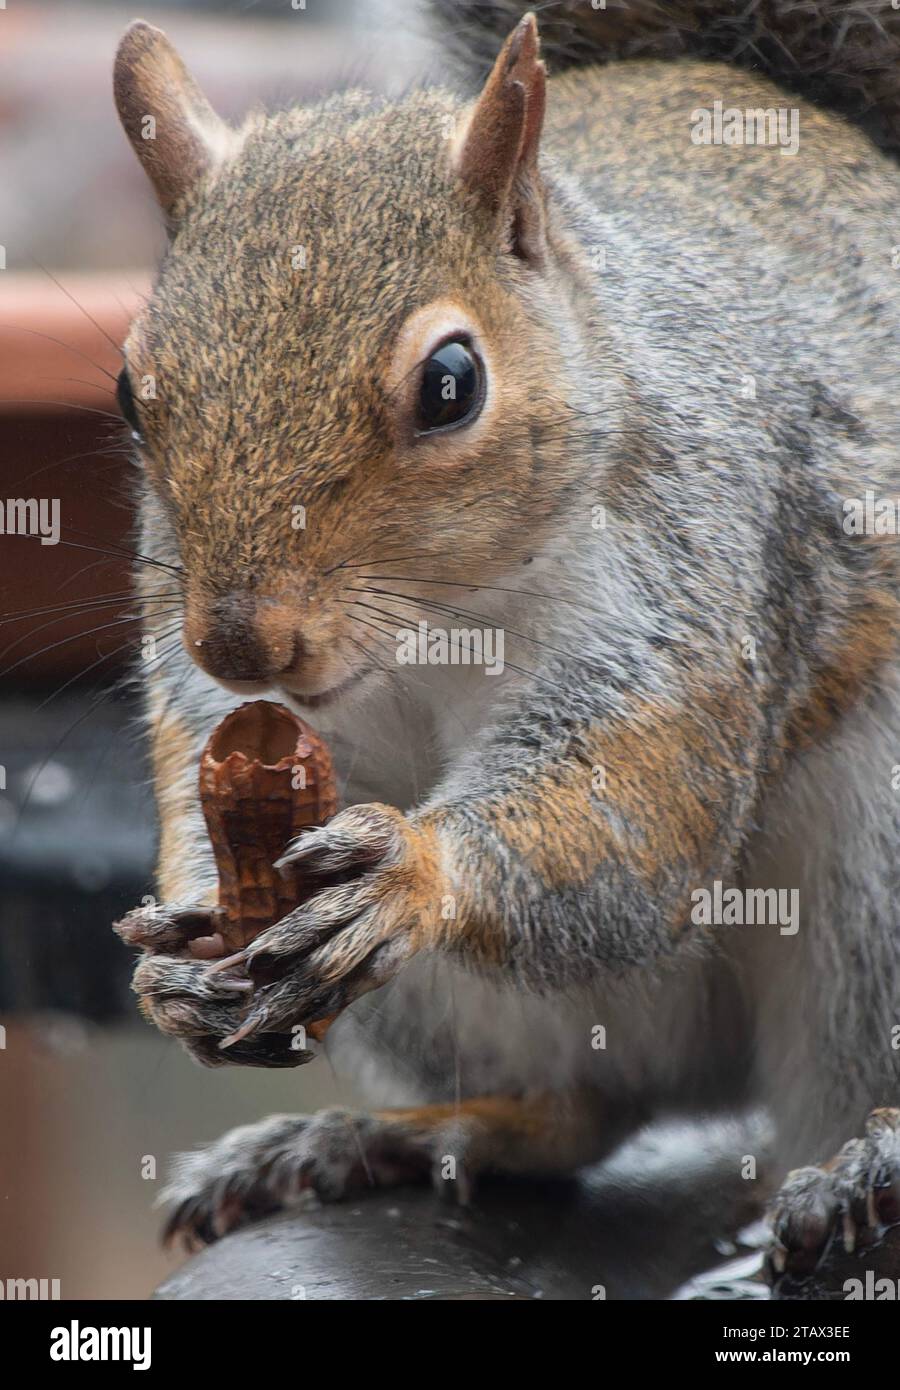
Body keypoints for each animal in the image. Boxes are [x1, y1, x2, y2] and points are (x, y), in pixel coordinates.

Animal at [111, 2, 900, 1292]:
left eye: (451, 382)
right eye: (132, 392)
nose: (243, 641)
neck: (429, 626)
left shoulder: (689, 578)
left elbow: (635, 798)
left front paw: (415, 871)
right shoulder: (228, 698)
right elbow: (203, 764)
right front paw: (177, 942)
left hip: (870, 888)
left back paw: (859, 1168)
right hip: (449, 1013)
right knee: (583, 1113)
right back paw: (376, 1137)